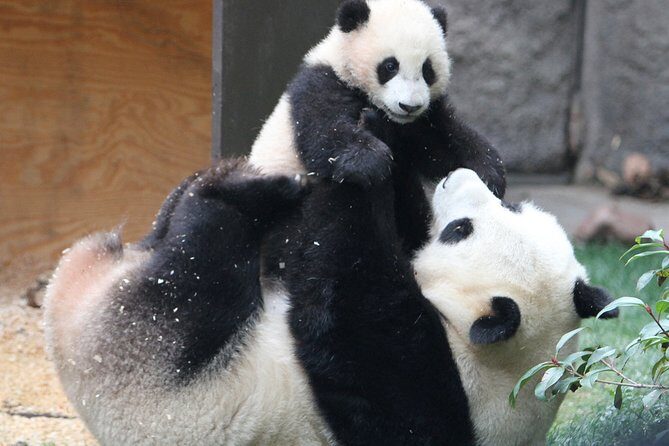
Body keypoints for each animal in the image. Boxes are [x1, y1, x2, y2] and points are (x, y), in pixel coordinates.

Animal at [45, 162, 617, 445]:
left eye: (459, 230)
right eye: (513, 204)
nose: (458, 175)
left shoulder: (421, 387)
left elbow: (345, 303)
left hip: (152, 358)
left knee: (196, 266)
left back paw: (234, 190)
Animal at [249, 0, 506, 254]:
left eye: (427, 69)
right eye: (390, 66)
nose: (409, 106)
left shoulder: (420, 121)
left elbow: (441, 143)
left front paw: (488, 174)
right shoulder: (322, 85)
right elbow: (326, 133)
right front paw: (370, 161)